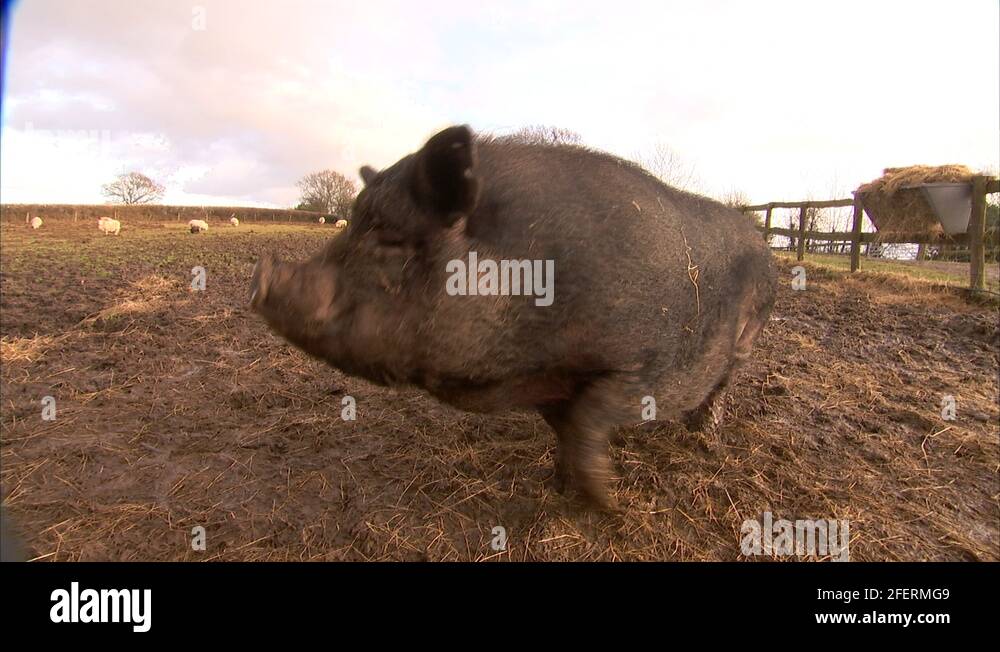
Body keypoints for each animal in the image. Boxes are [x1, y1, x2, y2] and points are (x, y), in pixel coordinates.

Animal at [250, 125, 776, 508]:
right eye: (355, 223)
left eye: (391, 239)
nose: (261, 273)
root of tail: (763, 241)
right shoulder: (550, 386)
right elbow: (567, 431)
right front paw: (557, 487)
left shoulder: (637, 363)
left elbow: (590, 420)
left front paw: (607, 505)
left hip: (748, 334)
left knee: (724, 381)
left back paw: (705, 439)